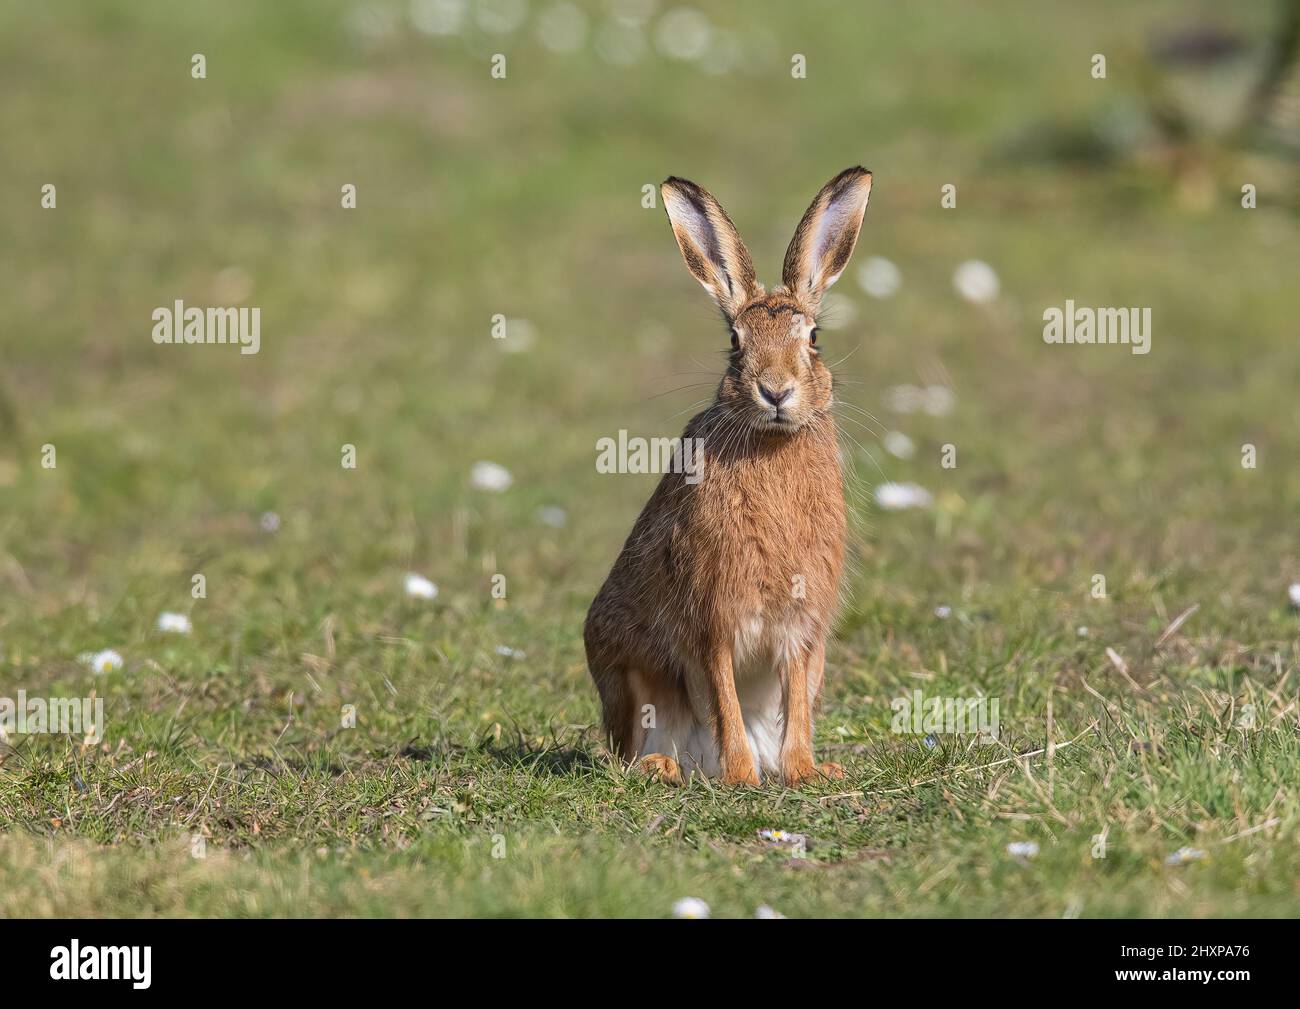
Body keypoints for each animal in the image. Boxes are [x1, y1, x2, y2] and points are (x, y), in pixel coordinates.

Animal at [584, 167, 873, 786]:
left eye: (814, 338)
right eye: (735, 343)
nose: (776, 391)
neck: (770, 441)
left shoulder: (803, 627)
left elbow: (794, 698)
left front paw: (804, 772)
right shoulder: (711, 617)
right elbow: (722, 693)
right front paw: (742, 777)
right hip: (628, 673)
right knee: (630, 752)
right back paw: (670, 767)